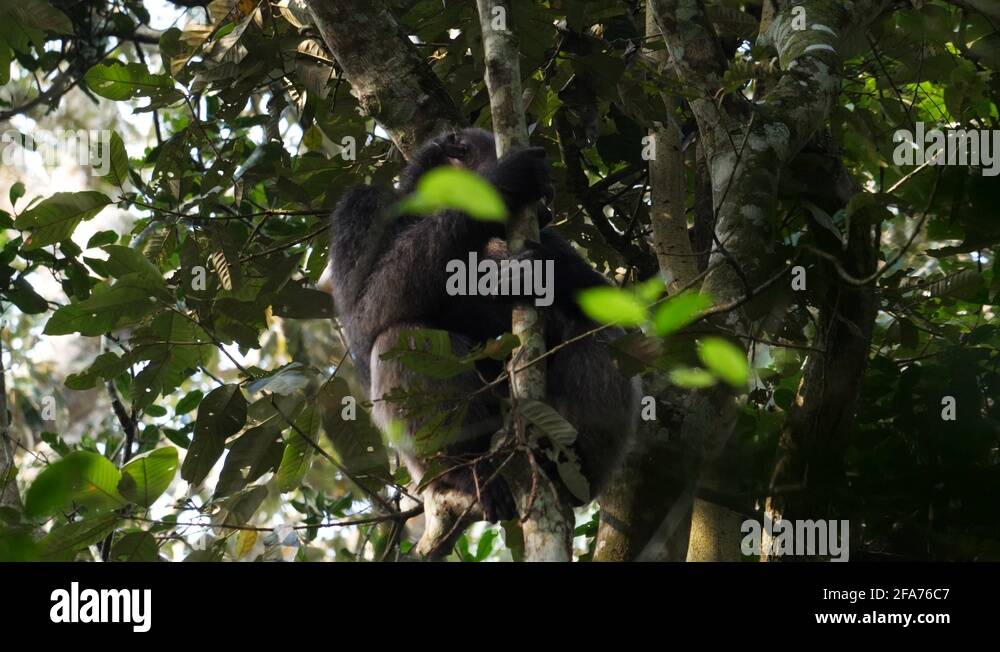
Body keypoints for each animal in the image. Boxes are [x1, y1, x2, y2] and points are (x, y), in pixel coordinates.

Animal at [328, 127, 640, 525]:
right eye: (543, 190)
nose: (550, 204)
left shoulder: (549, 238)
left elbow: (615, 307)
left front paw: (544, 272)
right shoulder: (359, 209)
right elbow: (363, 314)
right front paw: (506, 179)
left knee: (598, 328)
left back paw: (572, 466)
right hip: (432, 469)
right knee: (400, 336)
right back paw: (470, 471)